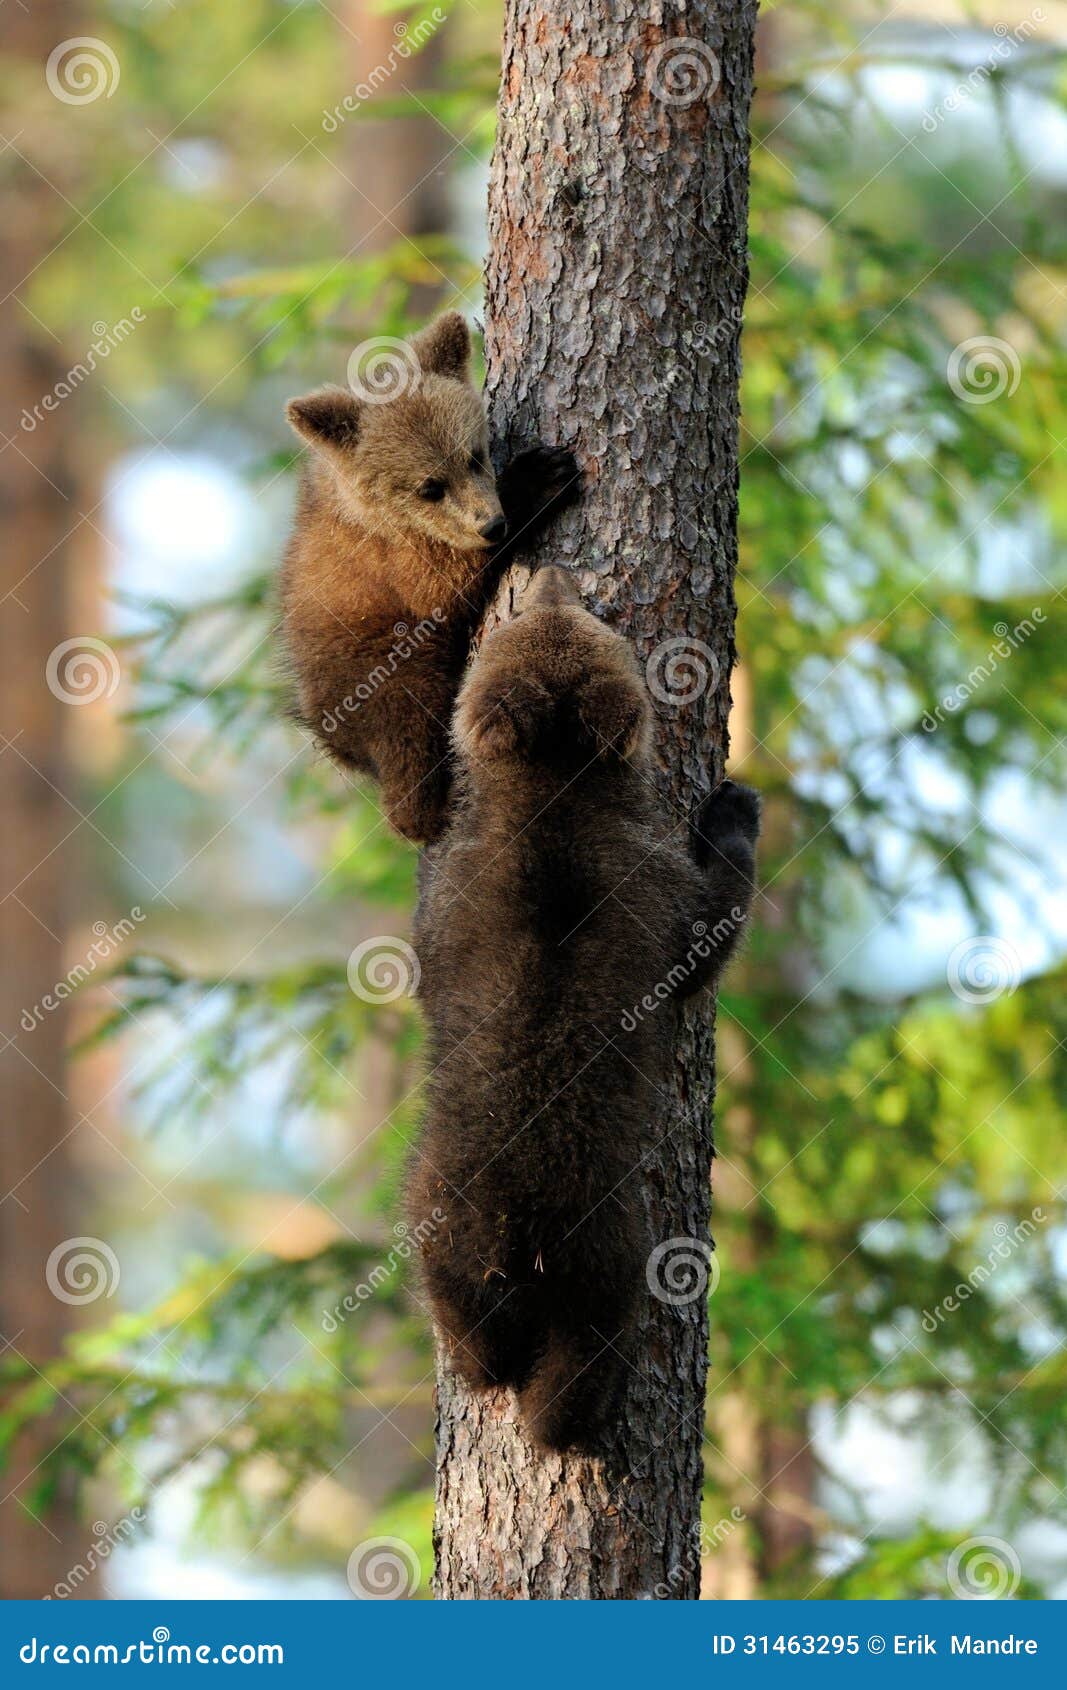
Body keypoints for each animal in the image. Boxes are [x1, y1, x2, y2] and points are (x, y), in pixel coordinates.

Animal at [280, 311, 579, 845]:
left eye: (473, 455)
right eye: (429, 487)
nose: (492, 524)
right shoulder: (392, 562)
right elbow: (444, 586)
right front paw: (539, 477)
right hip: (387, 672)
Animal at [406, 565, 760, 1454]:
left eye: (572, 623)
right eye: (529, 623)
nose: (549, 574)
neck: (552, 787)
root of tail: (517, 1223)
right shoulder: (653, 886)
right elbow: (712, 927)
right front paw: (733, 808)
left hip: (447, 1227)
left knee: (478, 1335)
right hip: (602, 1247)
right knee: (583, 1349)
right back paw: (566, 1418)